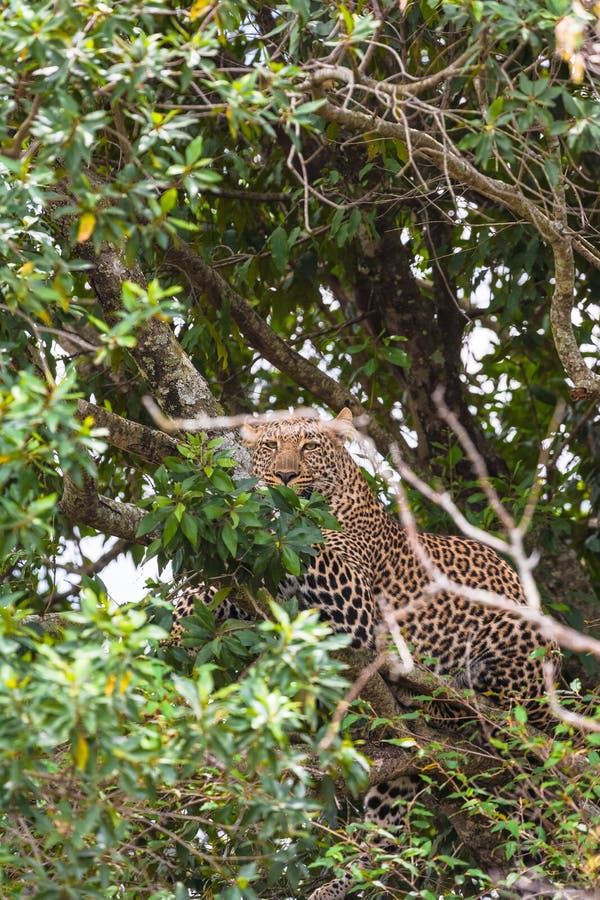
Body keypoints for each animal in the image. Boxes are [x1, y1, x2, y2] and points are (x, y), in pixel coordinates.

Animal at [171, 408, 560, 900]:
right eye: (270, 446)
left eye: (310, 446)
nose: (283, 476)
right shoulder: (268, 582)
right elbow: (213, 589)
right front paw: (175, 626)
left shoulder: (353, 601)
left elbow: (305, 542)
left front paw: (266, 509)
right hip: (400, 777)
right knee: (382, 837)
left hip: (515, 642)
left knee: (493, 711)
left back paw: (431, 698)